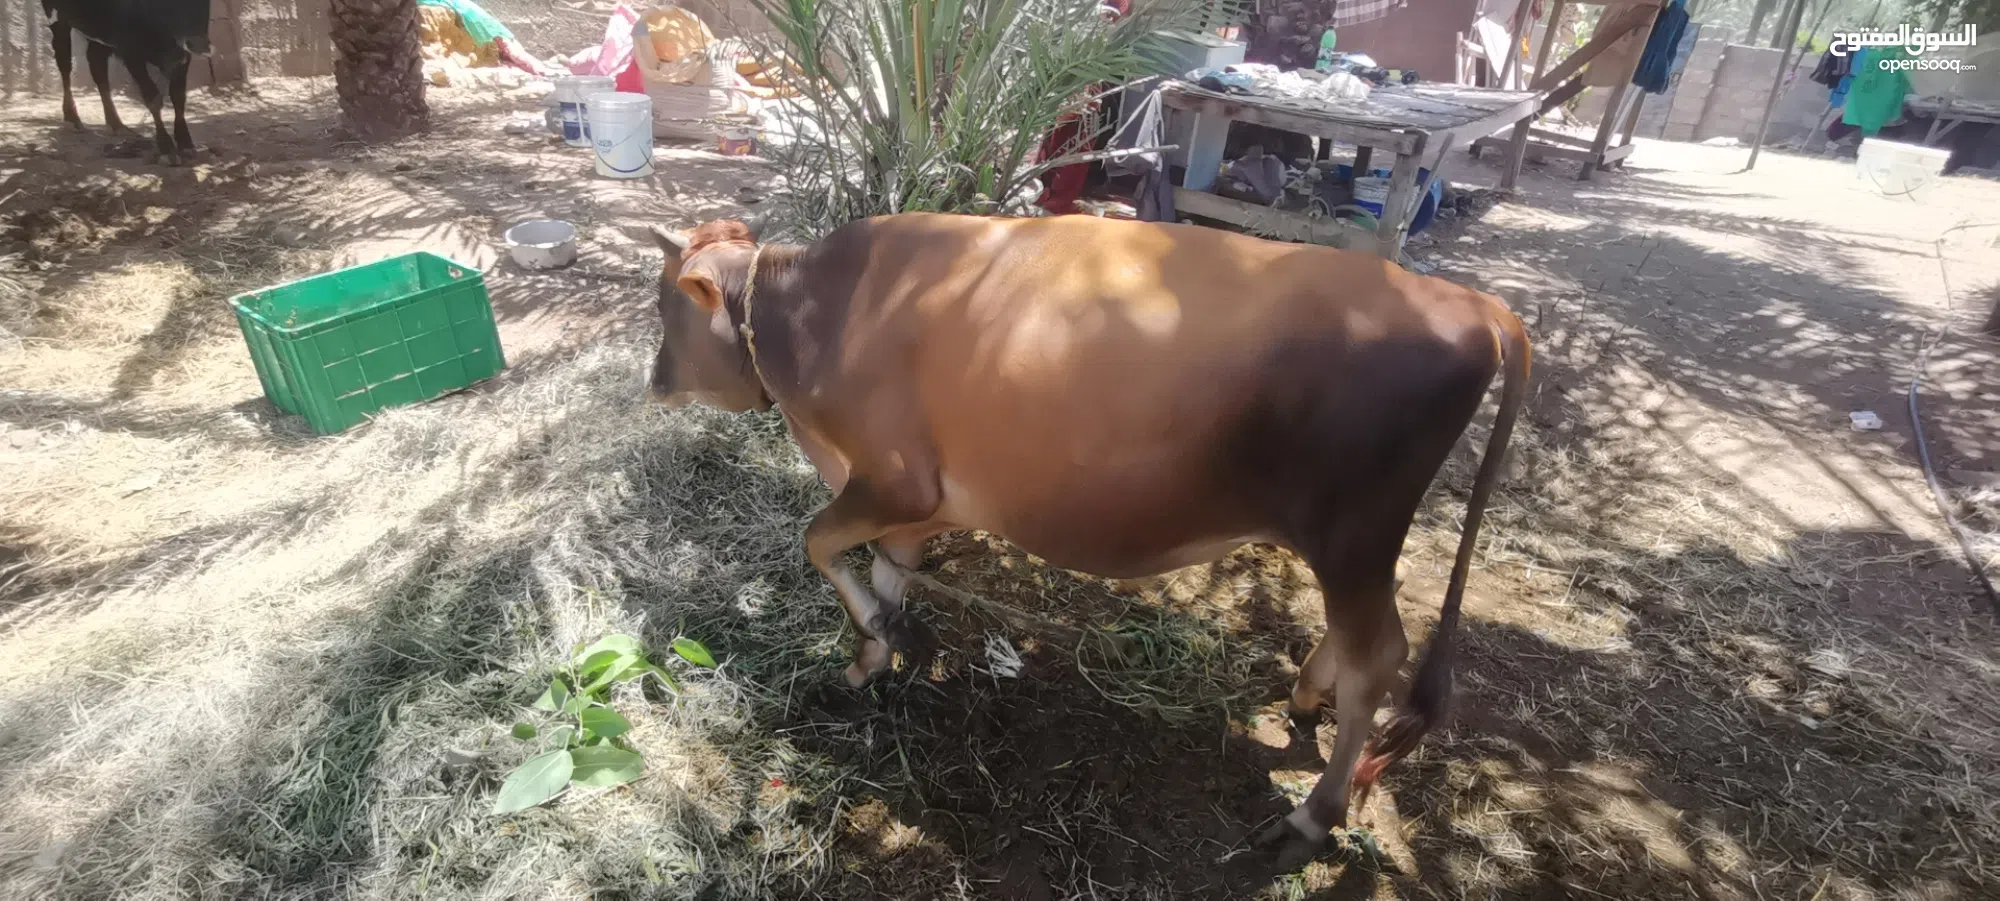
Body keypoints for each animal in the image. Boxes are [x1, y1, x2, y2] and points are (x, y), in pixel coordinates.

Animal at [43, 0, 210, 165]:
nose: (198, 44)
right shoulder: (130, 52)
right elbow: (153, 98)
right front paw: (166, 148)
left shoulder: (182, 57)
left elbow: (178, 97)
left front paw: (186, 144)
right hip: (57, 17)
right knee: (64, 60)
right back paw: (72, 117)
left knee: (97, 66)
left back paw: (115, 123)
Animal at [645, 212, 1530, 867]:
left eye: (663, 305)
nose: (654, 380)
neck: (821, 314)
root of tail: (1473, 304)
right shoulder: (913, 508)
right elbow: (886, 571)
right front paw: (876, 652)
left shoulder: (894, 481)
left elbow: (818, 543)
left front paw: (881, 639)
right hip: (1353, 542)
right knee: (1360, 640)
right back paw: (1308, 694)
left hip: (1353, 531)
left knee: (1378, 655)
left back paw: (1314, 814)